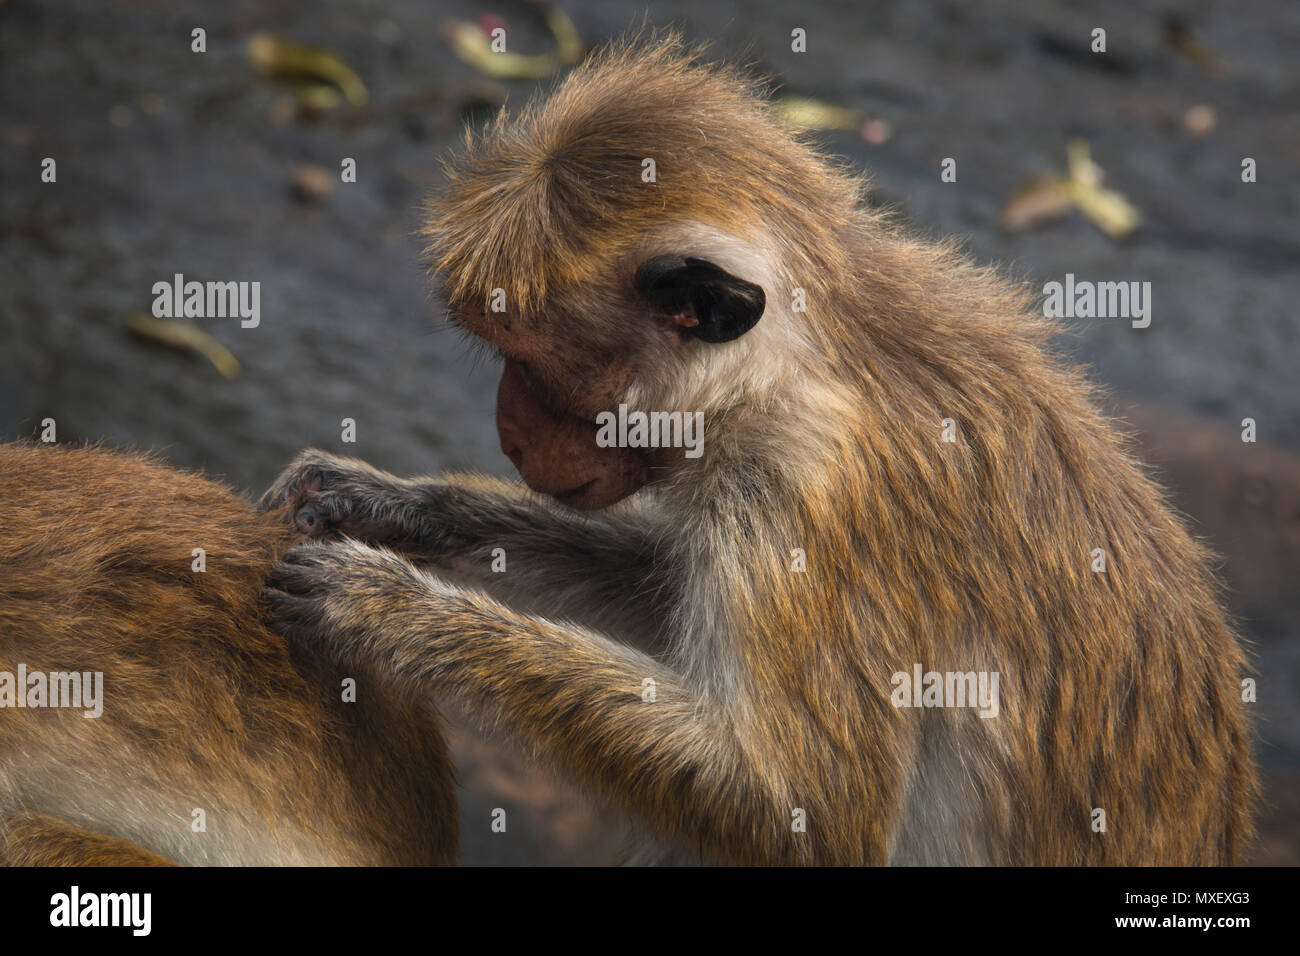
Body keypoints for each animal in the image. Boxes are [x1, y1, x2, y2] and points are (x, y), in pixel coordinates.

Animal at [260, 37, 1256, 866]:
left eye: (526, 359)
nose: (508, 429)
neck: (791, 372)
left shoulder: (808, 484)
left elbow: (799, 813)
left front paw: (389, 609)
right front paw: (401, 505)